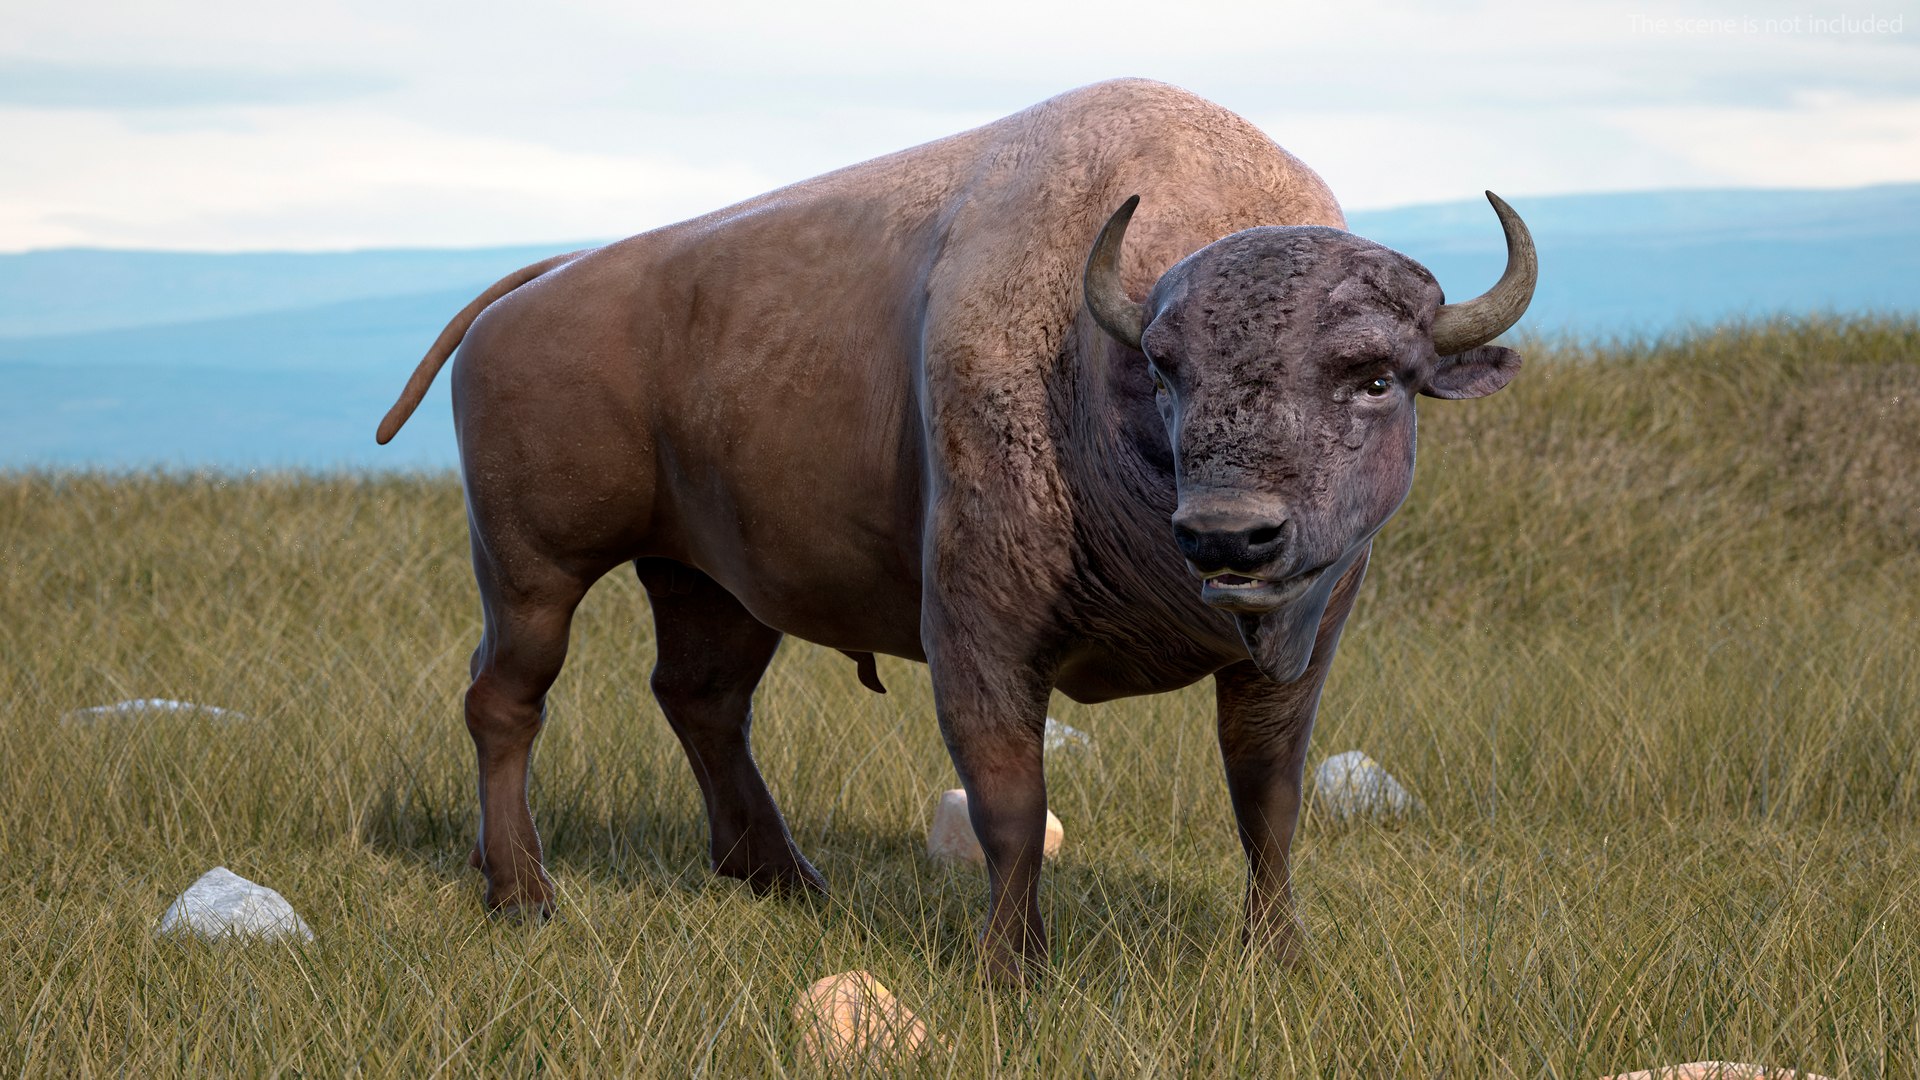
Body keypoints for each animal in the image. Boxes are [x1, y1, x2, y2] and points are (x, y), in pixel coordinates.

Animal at [377, 78, 1535, 981]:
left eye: (1379, 378)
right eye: (1166, 369)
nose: (1228, 535)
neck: (1088, 359)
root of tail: (537, 284)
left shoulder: (1295, 651)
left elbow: (1268, 802)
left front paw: (1280, 958)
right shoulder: (980, 634)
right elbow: (1010, 805)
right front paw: (1010, 972)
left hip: (712, 583)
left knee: (701, 700)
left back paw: (784, 880)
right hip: (534, 569)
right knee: (507, 701)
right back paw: (524, 894)